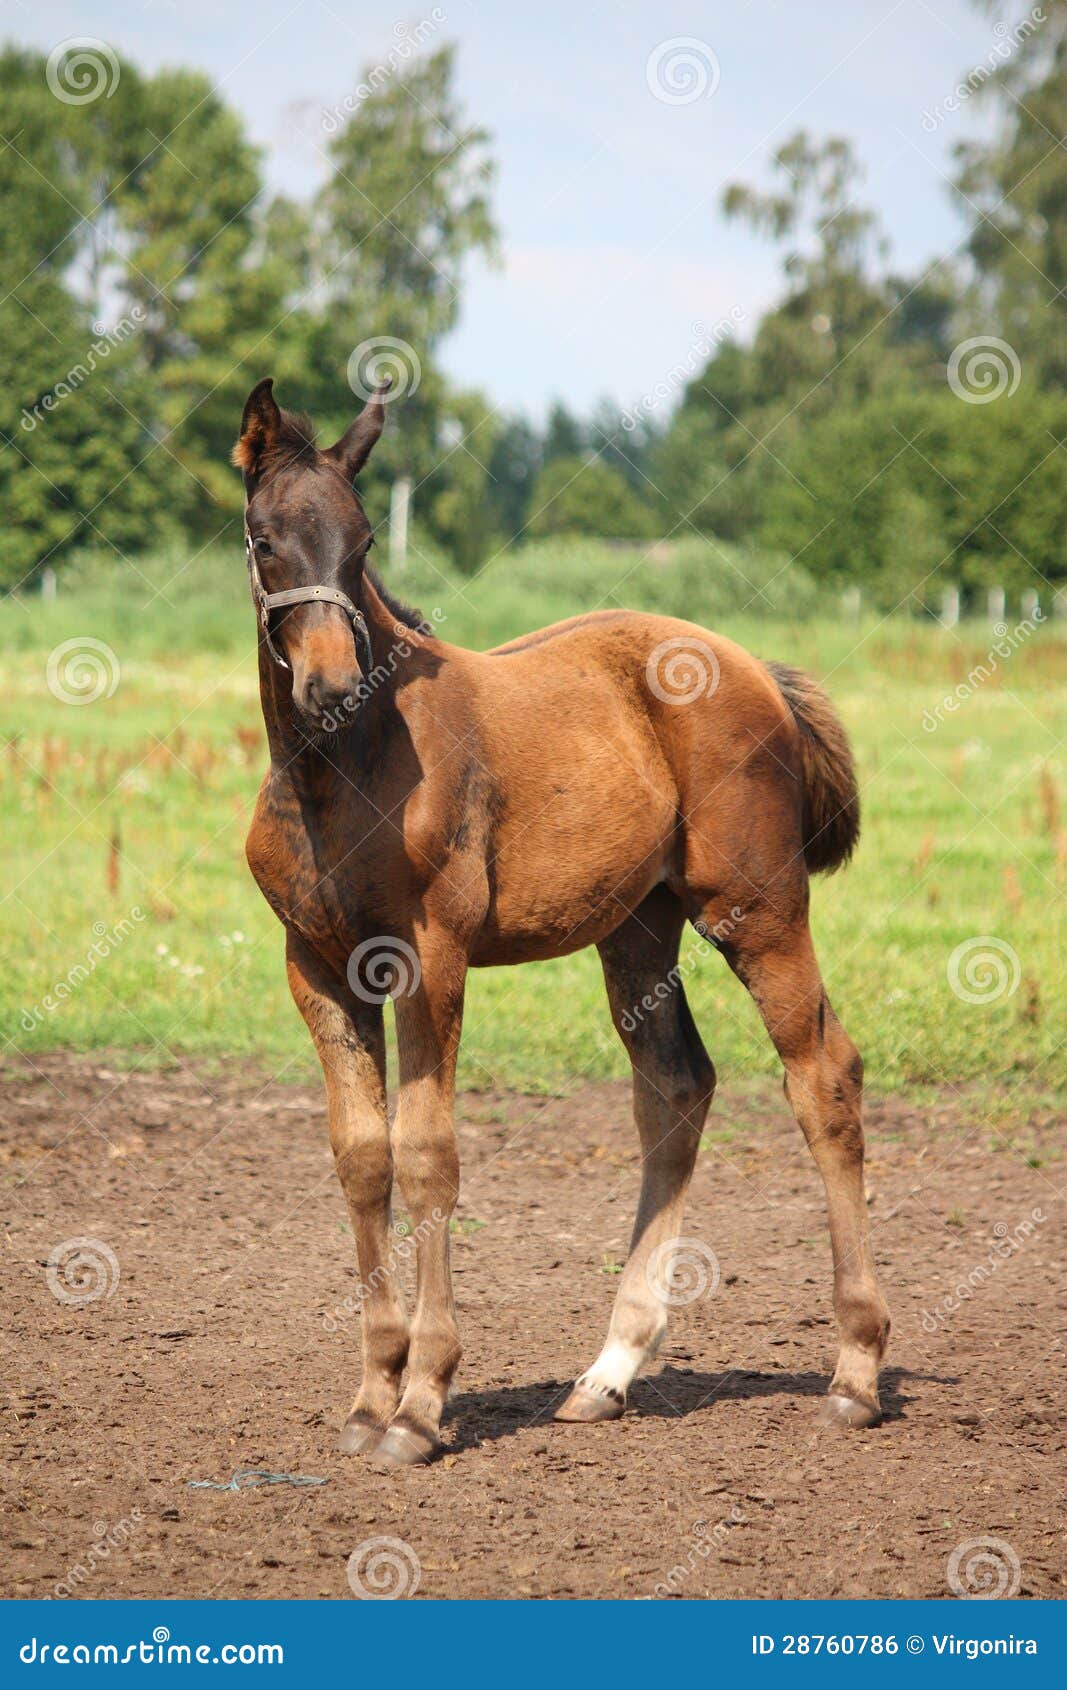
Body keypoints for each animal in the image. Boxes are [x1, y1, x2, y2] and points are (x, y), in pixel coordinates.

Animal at [233, 376, 890, 1467]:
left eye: (362, 541)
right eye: (264, 538)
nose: (329, 682)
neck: (341, 769)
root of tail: (758, 668)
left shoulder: (430, 956)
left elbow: (427, 1153)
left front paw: (421, 1403)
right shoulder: (315, 966)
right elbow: (362, 1156)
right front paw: (370, 1396)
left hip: (755, 909)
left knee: (822, 1076)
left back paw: (853, 1374)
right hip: (639, 928)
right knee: (676, 1087)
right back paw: (606, 1373)